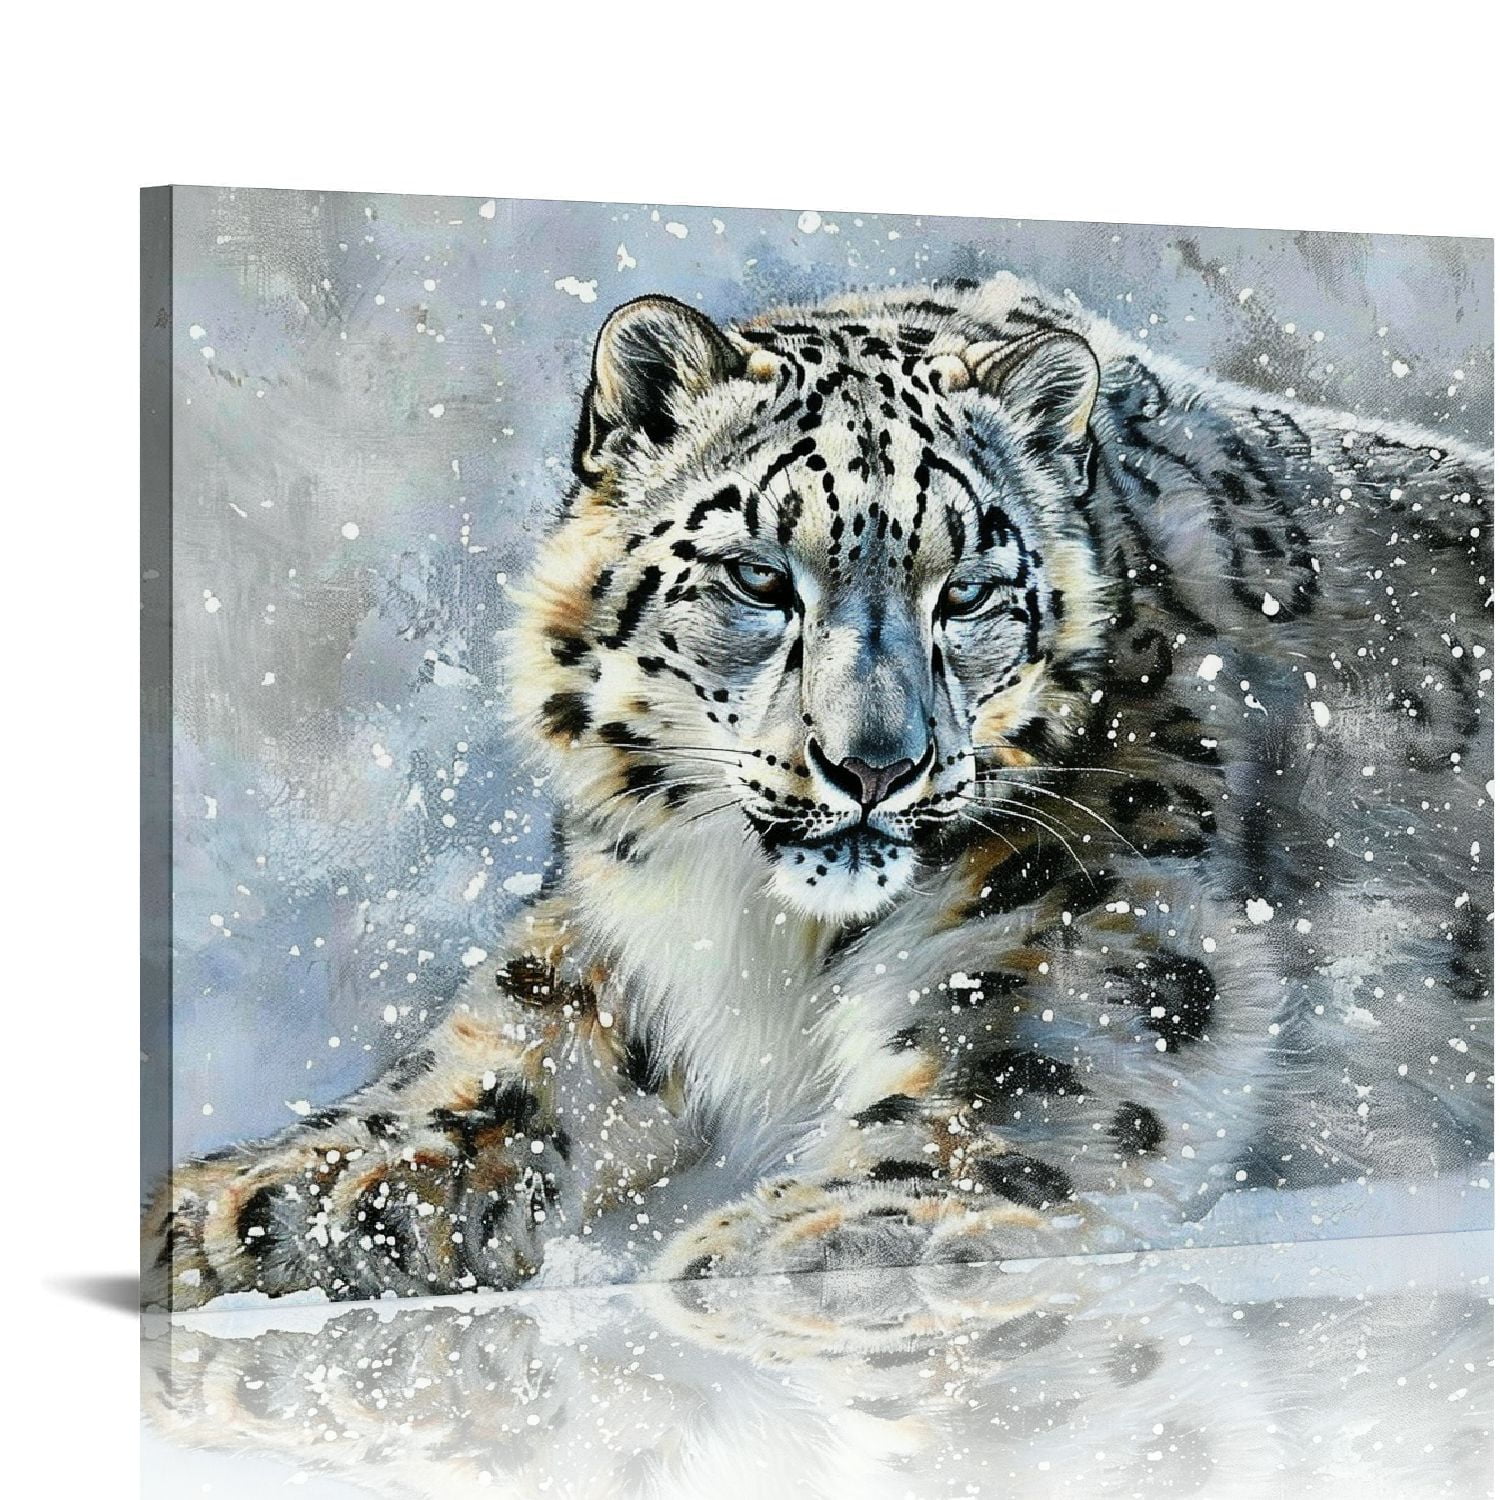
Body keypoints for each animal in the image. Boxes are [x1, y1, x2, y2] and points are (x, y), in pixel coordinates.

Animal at [144, 271, 1493, 1310]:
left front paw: (823, 1231)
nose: (874, 762)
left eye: (968, 591)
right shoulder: (630, 912)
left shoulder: (1090, 875)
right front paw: (275, 1194)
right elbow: (519, 1030)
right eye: (756, 575)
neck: (770, 922)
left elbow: (1025, 1054)